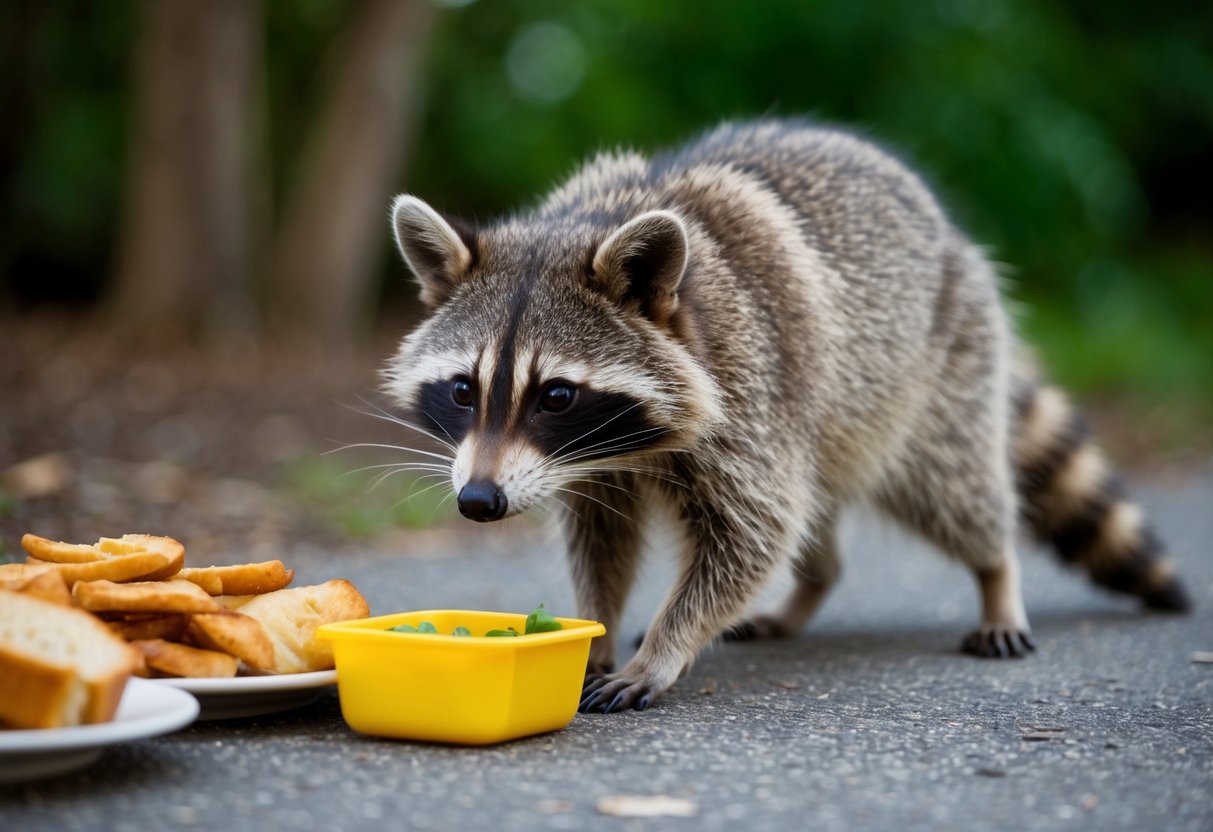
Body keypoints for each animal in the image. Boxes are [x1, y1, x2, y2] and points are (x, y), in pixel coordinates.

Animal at [382, 119, 1190, 713]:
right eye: (462, 389)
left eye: (555, 395)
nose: (478, 501)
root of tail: (954, 238)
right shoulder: (589, 467)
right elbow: (604, 538)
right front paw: (596, 625)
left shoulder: (748, 387)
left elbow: (754, 532)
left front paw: (665, 644)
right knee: (816, 511)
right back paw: (813, 586)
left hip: (929, 375)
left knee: (949, 488)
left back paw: (996, 574)